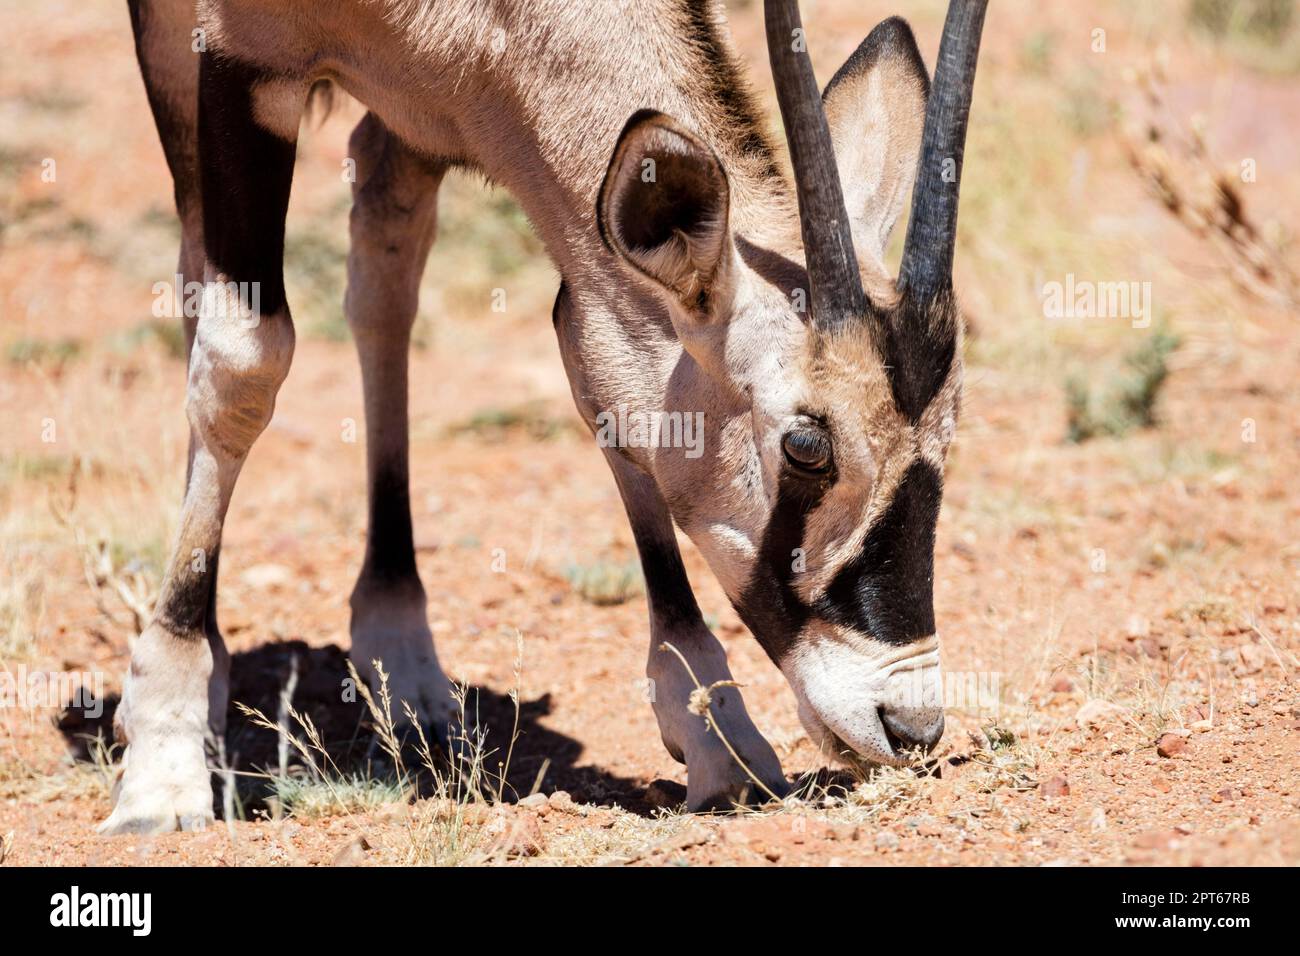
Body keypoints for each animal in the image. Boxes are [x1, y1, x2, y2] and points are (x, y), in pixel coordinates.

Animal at [109, 0, 986, 832]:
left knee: (385, 265)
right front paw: (161, 765)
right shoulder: (239, 59)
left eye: (948, 435)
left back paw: (402, 655)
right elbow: (243, 361)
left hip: (411, 114)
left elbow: (599, 379)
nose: (907, 725)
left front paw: (717, 740)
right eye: (805, 444)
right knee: (204, 282)